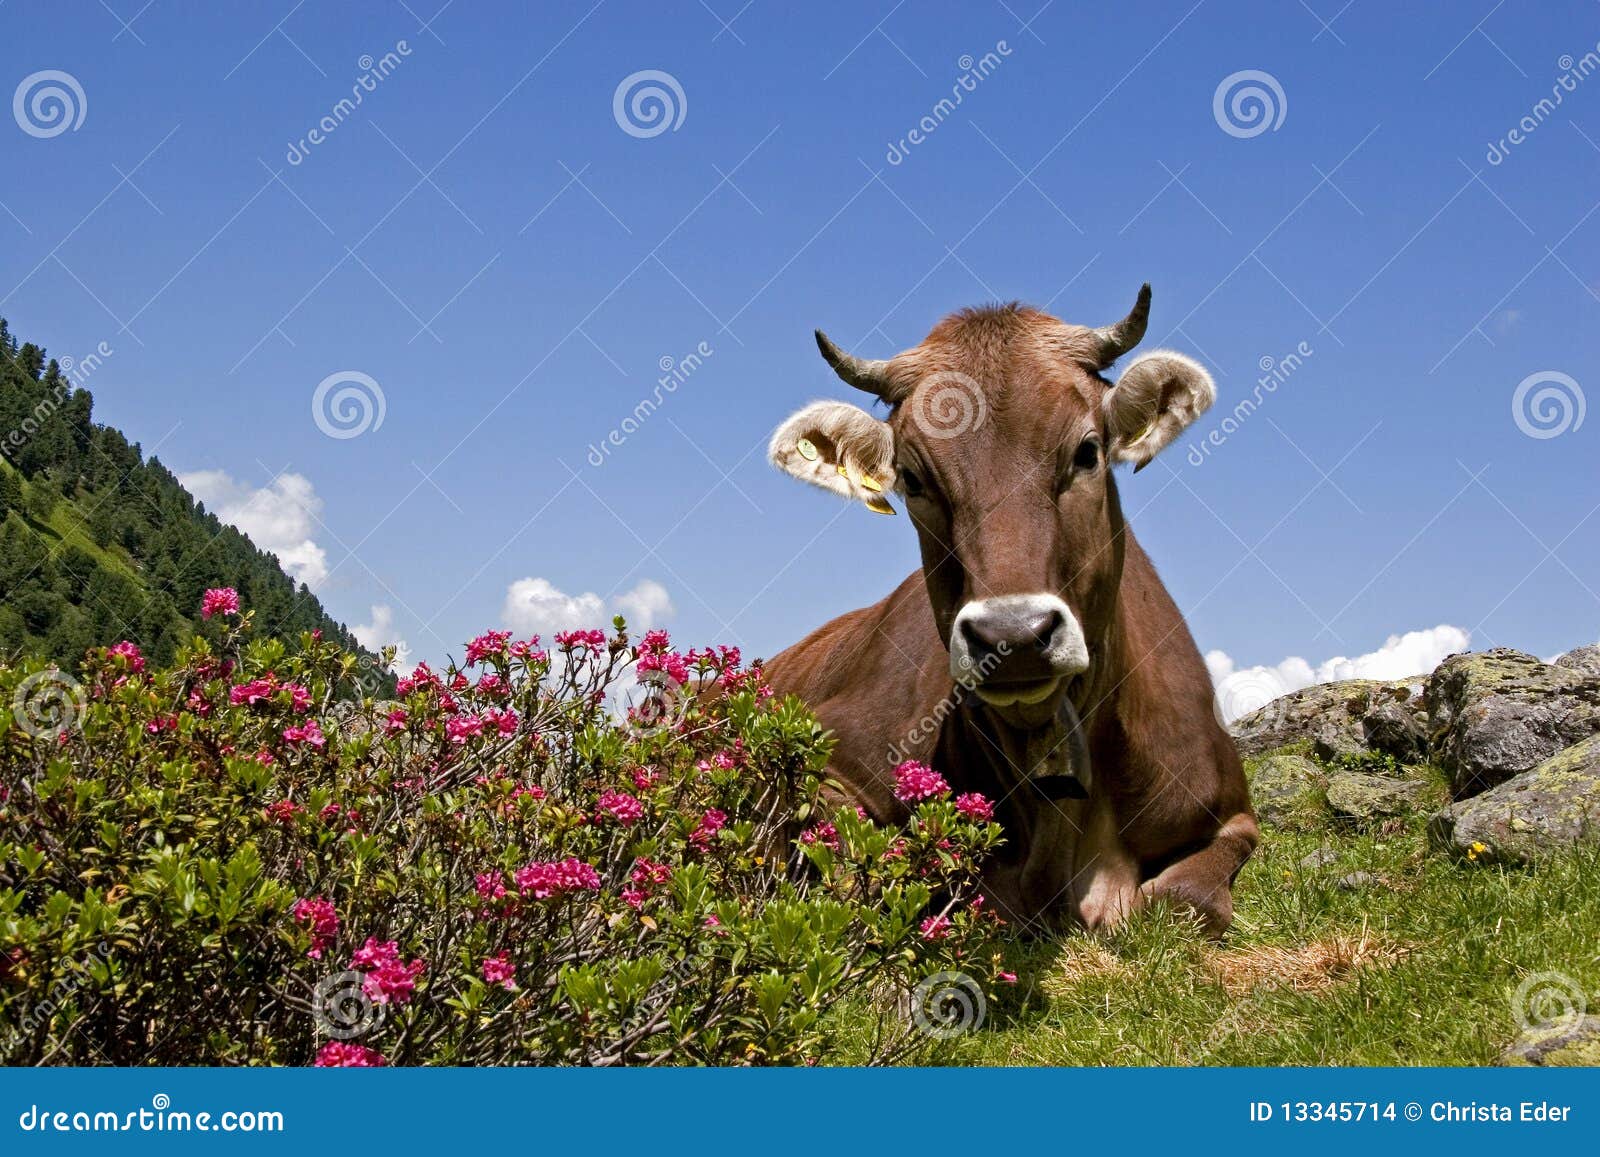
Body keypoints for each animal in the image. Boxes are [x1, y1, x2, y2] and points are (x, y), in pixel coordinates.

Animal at [761, 286, 1257, 937]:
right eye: (913, 479)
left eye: (1088, 451)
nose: (1013, 634)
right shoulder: (832, 759)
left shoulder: (1234, 813)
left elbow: (1184, 898)